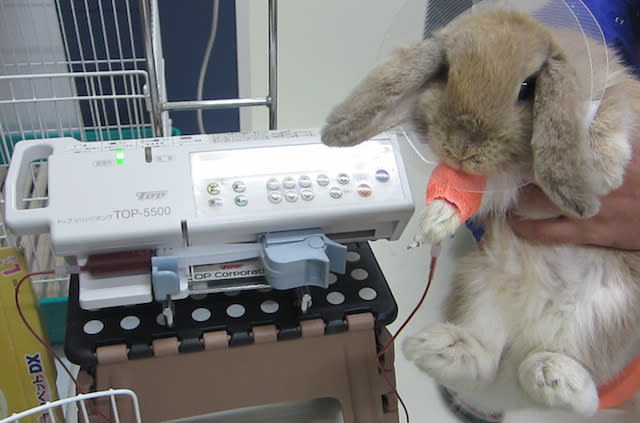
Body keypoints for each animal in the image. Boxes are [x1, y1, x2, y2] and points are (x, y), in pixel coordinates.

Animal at [321, 8, 640, 417]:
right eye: (446, 73)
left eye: (527, 88)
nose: (460, 149)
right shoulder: (497, 182)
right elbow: (473, 194)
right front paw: (436, 220)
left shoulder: (617, 90)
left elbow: (609, 117)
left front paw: (604, 169)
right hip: (479, 285)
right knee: (487, 364)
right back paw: (435, 349)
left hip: (609, 310)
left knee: (579, 393)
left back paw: (554, 374)